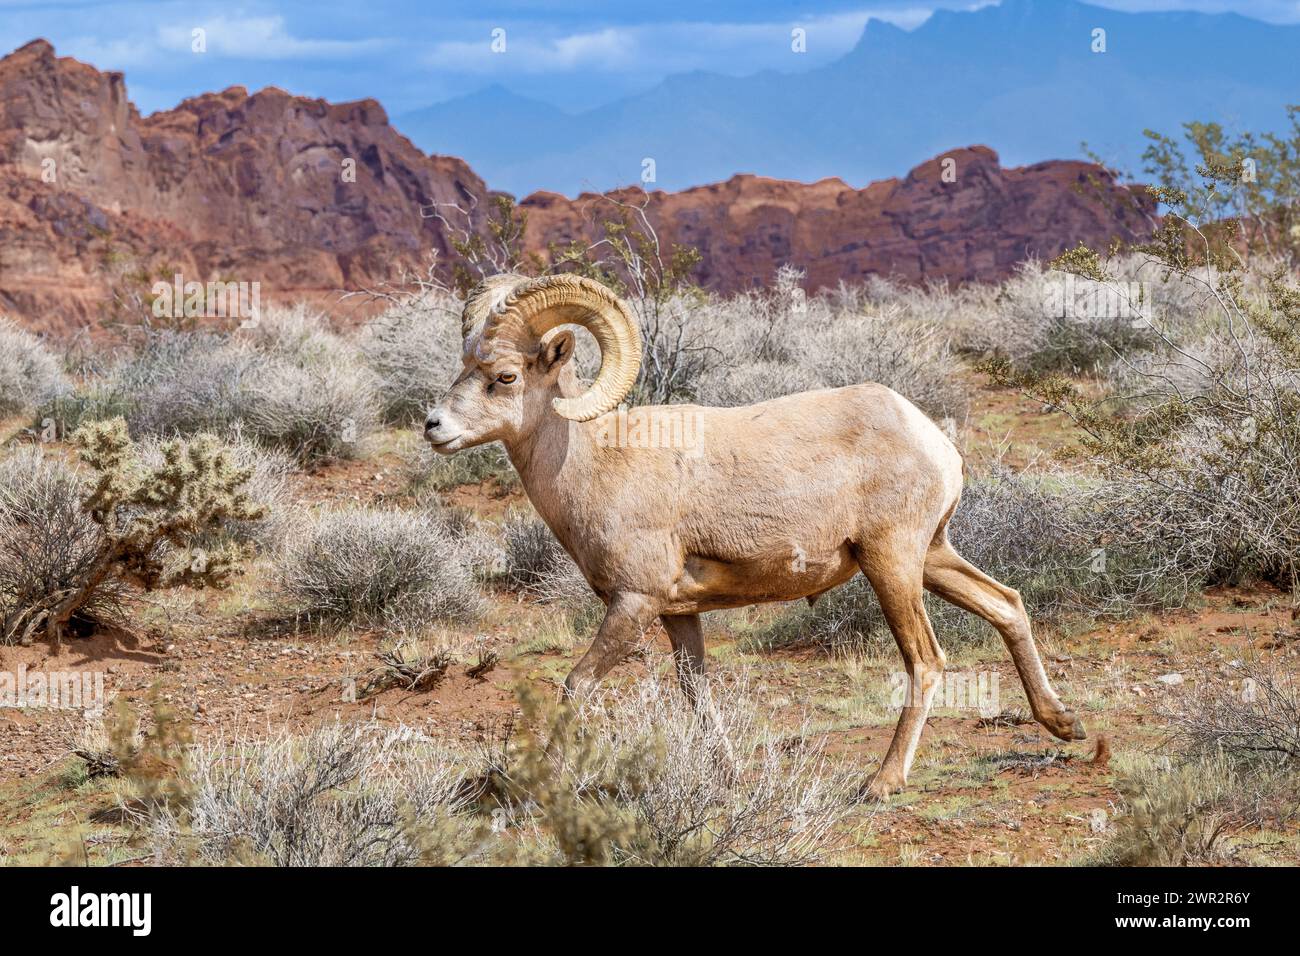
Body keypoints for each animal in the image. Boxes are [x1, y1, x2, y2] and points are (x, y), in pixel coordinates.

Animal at [425, 273, 1085, 798]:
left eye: (504, 376)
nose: (434, 426)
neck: (598, 462)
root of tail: (931, 437)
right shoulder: (677, 615)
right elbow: (696, 693)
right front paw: (727, 775)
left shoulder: (633, 603)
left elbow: (577, 684)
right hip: (934, 558)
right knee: (1007, 605)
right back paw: (1064, 724)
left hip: (892, 564)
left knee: (925, 659)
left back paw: (884, 781)